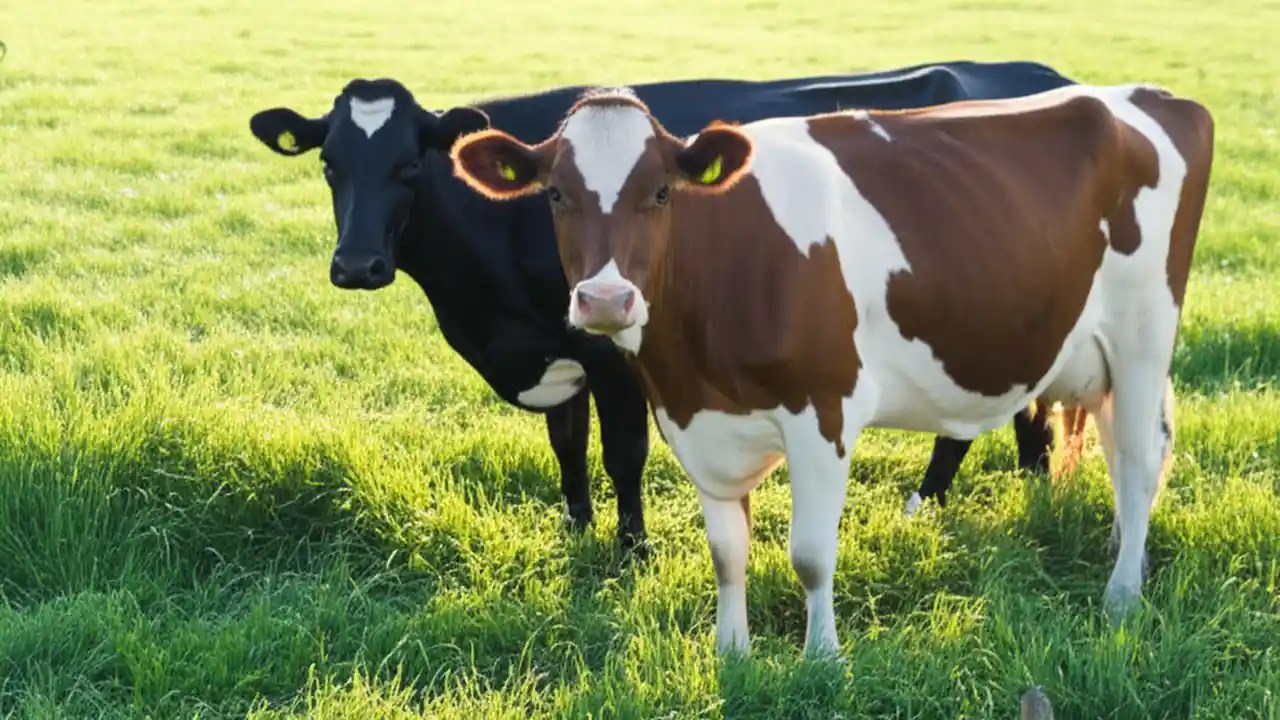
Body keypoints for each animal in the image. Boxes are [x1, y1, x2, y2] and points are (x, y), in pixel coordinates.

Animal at [246, 61, 1076, 555]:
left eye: (410, 164)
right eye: (329, 164)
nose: (357, 266)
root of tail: (1040, 75)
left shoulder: (612, 349)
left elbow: (622, 453)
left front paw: (631, 549)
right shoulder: (558, 347)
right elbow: (567, 447)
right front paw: (577, 530)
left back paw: (923, 504)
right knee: (1024, 410)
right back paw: (1033, 488)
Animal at [450, 83, 1213, 654]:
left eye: (662, 192)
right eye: (555, 195)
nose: (606, 299)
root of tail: (1145, 96)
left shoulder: (824, 410)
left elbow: (811, 554)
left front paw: (823, 659)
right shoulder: (692, 418)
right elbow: (727, 552)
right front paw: (733, 653)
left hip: (1145, 334)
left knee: (1139, 459)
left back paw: (1122, 594)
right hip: (1102, 358)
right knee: (1126, 452)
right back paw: (1127, 553)